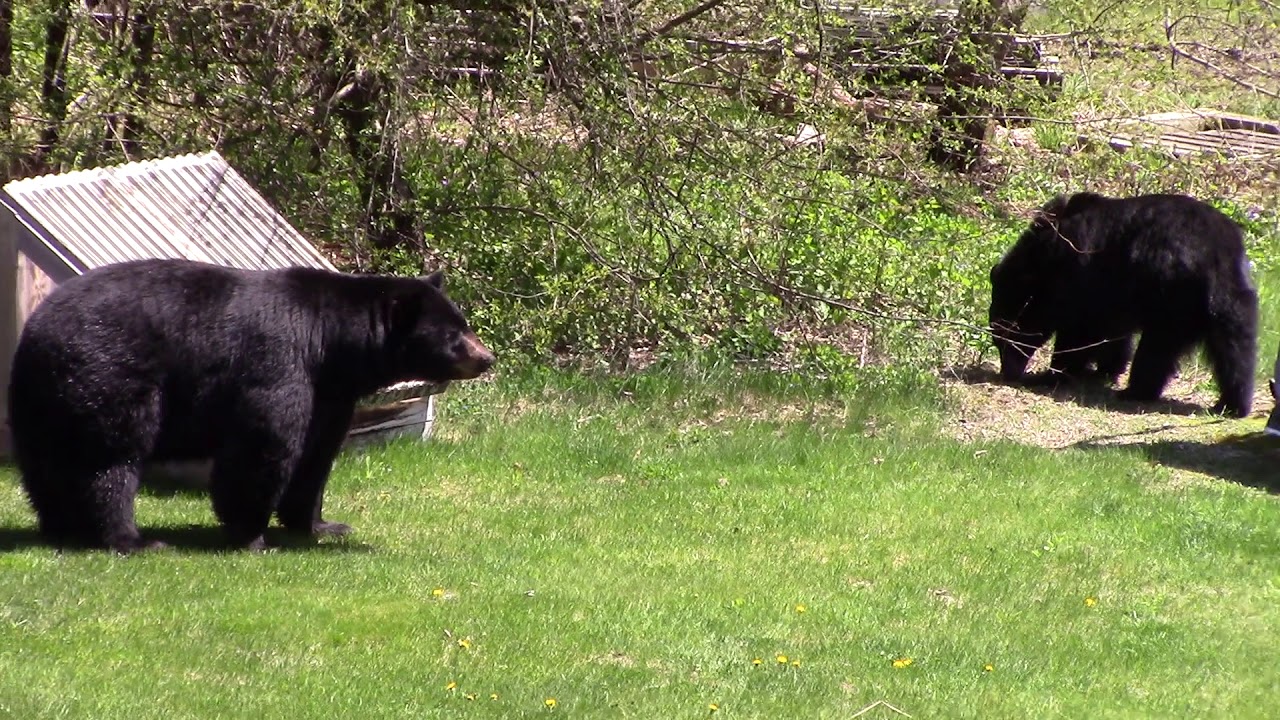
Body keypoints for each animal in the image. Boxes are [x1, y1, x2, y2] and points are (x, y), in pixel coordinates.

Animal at [7, 258, 495, 553]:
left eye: (463, 322)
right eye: (454, 333)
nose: (487, 356)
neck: (330, 343)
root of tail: (36, 331)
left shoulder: (330, 394)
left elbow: (316, 455)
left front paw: (321, 524)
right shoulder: (278, 364)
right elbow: (264, 444)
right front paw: (251, 536)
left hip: (41, 402)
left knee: (48, 467)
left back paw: (62, 525)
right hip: (110, 377)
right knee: (109, 460)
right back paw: (131, 538)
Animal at [988, 191, 1258, 417]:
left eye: (1009, 334)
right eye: (997, 338)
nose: (1008, 373)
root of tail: (1215, 254)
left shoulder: (1081, 275)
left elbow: (1079, 333)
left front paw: (1056, 373)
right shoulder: (1111, 295)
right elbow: (1112, 333)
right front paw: (1106, 369)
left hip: (1172, 295)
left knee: (1157, 347)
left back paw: (1135, 391)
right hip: (1232, 298)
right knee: (1235, 349)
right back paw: (1233, 404)